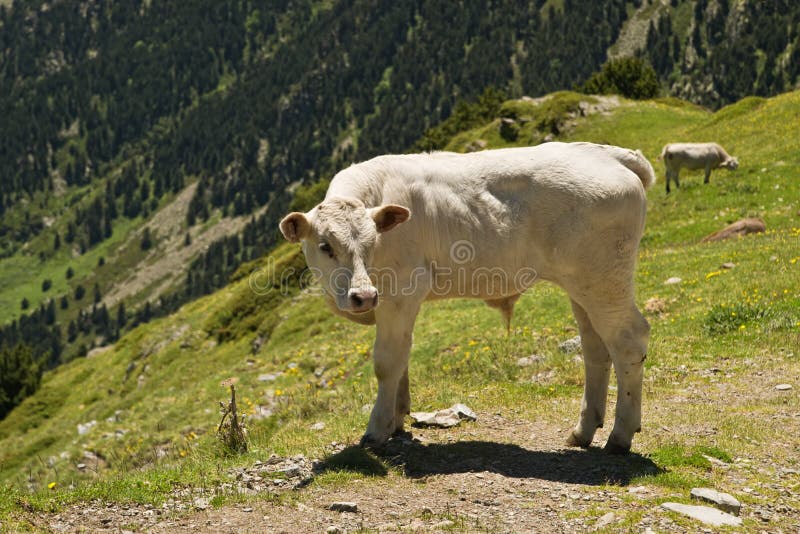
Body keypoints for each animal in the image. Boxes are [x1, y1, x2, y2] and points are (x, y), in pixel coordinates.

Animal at [279, 142, 654, 454]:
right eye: (325, 246)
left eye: (372, 243)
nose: (364, 296)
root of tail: (608, 153)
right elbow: (402, 359)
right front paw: (398, 421)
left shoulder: (400, 292)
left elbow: (387, 362)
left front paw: (377, 430)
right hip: (582, 286)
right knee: (595, 349)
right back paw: (583, 430)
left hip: (605, 281)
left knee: (628, 342)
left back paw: (620, 437)